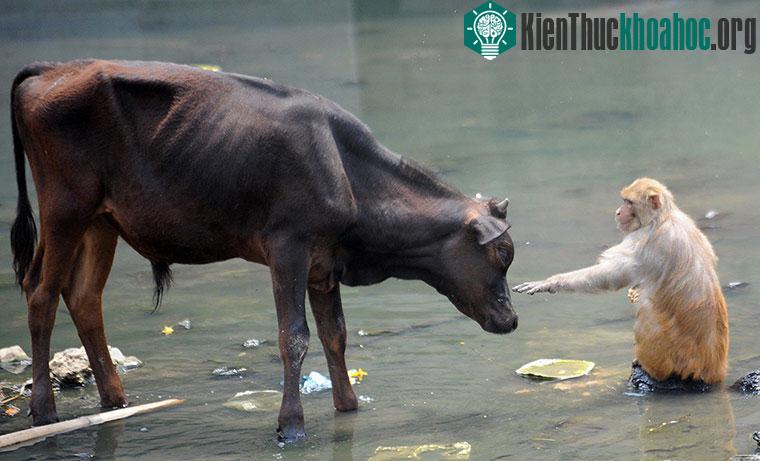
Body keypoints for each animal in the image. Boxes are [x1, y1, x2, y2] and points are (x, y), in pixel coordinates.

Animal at [10, 59, 516, 440]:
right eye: (503, 254)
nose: (511, 320)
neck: (346, 169)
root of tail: (53, 69)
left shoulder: (323, 263)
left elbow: (335, 334)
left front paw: (348, 406)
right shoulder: (287, 247)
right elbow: (294, 336)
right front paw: (291, 425)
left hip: (102, 222)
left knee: (84, 297)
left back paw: (116, 401)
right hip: (65, 209)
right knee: (41, 295)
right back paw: (44, 411)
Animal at [512, 176, 728, 388]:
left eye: (628, 202)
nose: (618, 211)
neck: (662, 217)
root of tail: (711, 371)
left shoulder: (644, 240)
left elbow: (613, 274)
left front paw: (551, 282)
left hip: (670, 357)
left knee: (646, 310)